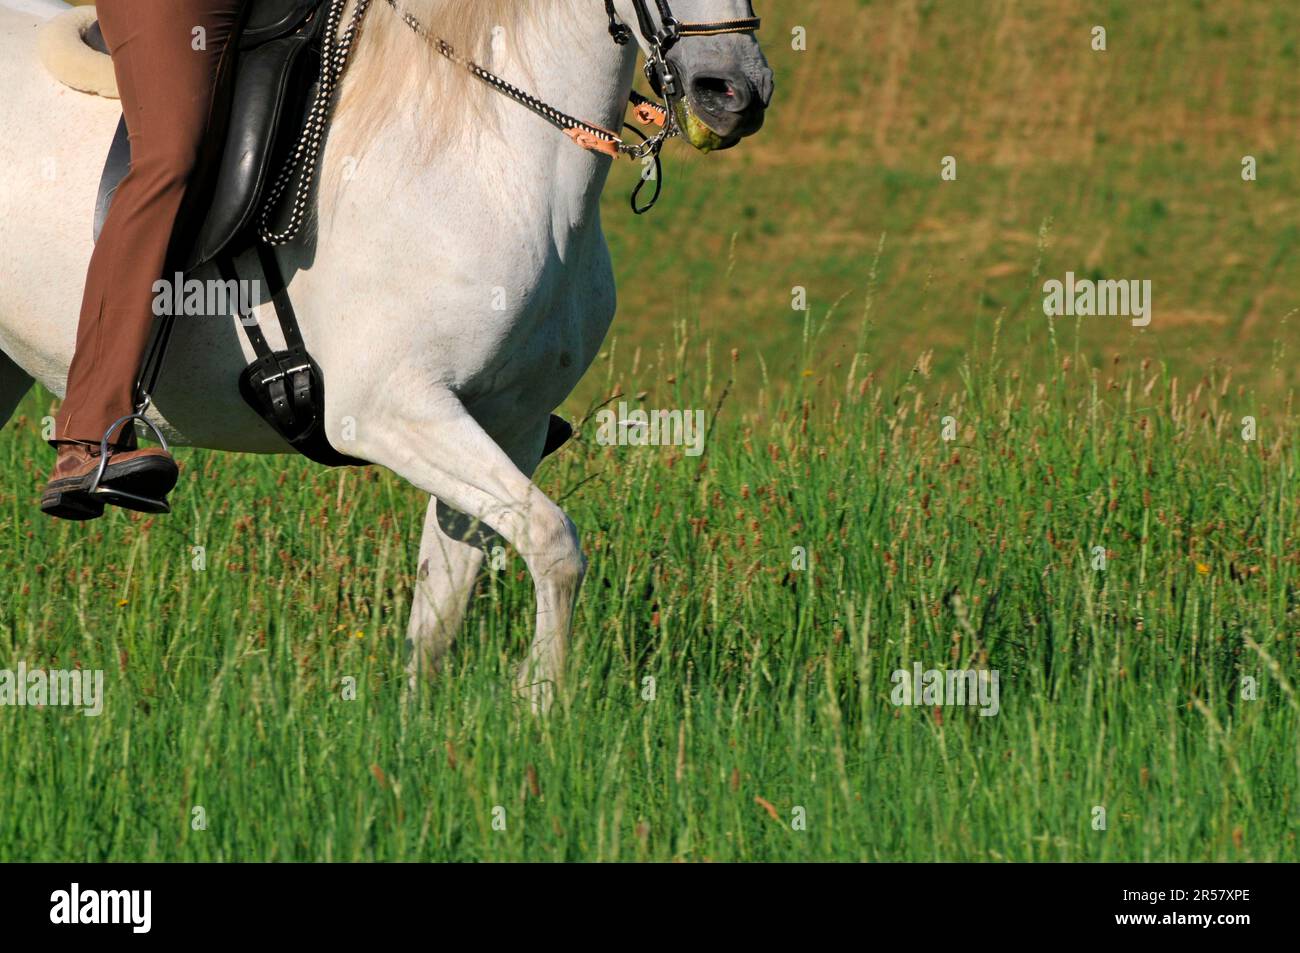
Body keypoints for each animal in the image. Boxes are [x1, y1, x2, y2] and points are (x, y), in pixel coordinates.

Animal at [0, 0, 772, 710]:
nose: (735, 93)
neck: (493, 153)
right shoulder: (389, 412)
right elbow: (555, 544)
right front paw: (542, 700)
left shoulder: (509, 425)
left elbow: (445, 602)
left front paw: (420, 729)